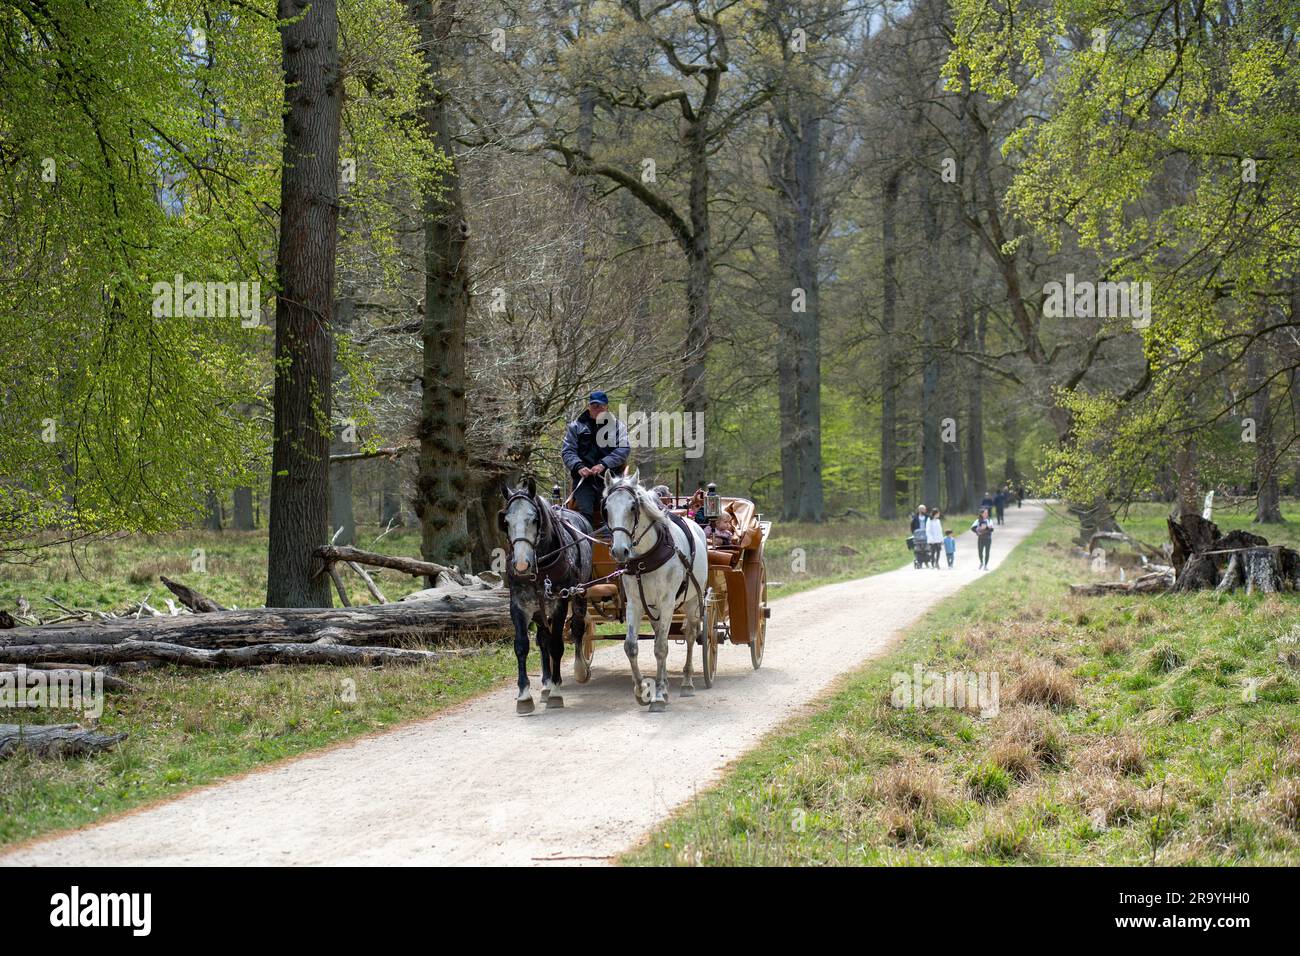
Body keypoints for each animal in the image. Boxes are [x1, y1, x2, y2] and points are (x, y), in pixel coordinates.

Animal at [499, 477, 593, 714]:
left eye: (533, 519)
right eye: (506, 521)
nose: (521, 566)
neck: (540, 566)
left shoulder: (560, 603)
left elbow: (557, 645)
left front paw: (557, 693)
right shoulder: (519, 605)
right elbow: (522, 646)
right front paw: (524, 696)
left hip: (579, 594)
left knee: (578, 628)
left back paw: (578, 669)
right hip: (539, 609)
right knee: (542, 640)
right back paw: (545, 685)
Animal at [602, 470, 709, 712]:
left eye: (633, 507)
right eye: (606, 508)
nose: (620, 551)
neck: (645, 558)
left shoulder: (667, 602)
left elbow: (660, 647)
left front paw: (658, 697)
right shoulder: (635, 603)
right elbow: (631, 646)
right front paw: (642, 691)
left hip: (691, 602)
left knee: (689, 636)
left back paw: (687, 683)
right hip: (652, 609)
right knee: (661, 632)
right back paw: (667, 684)